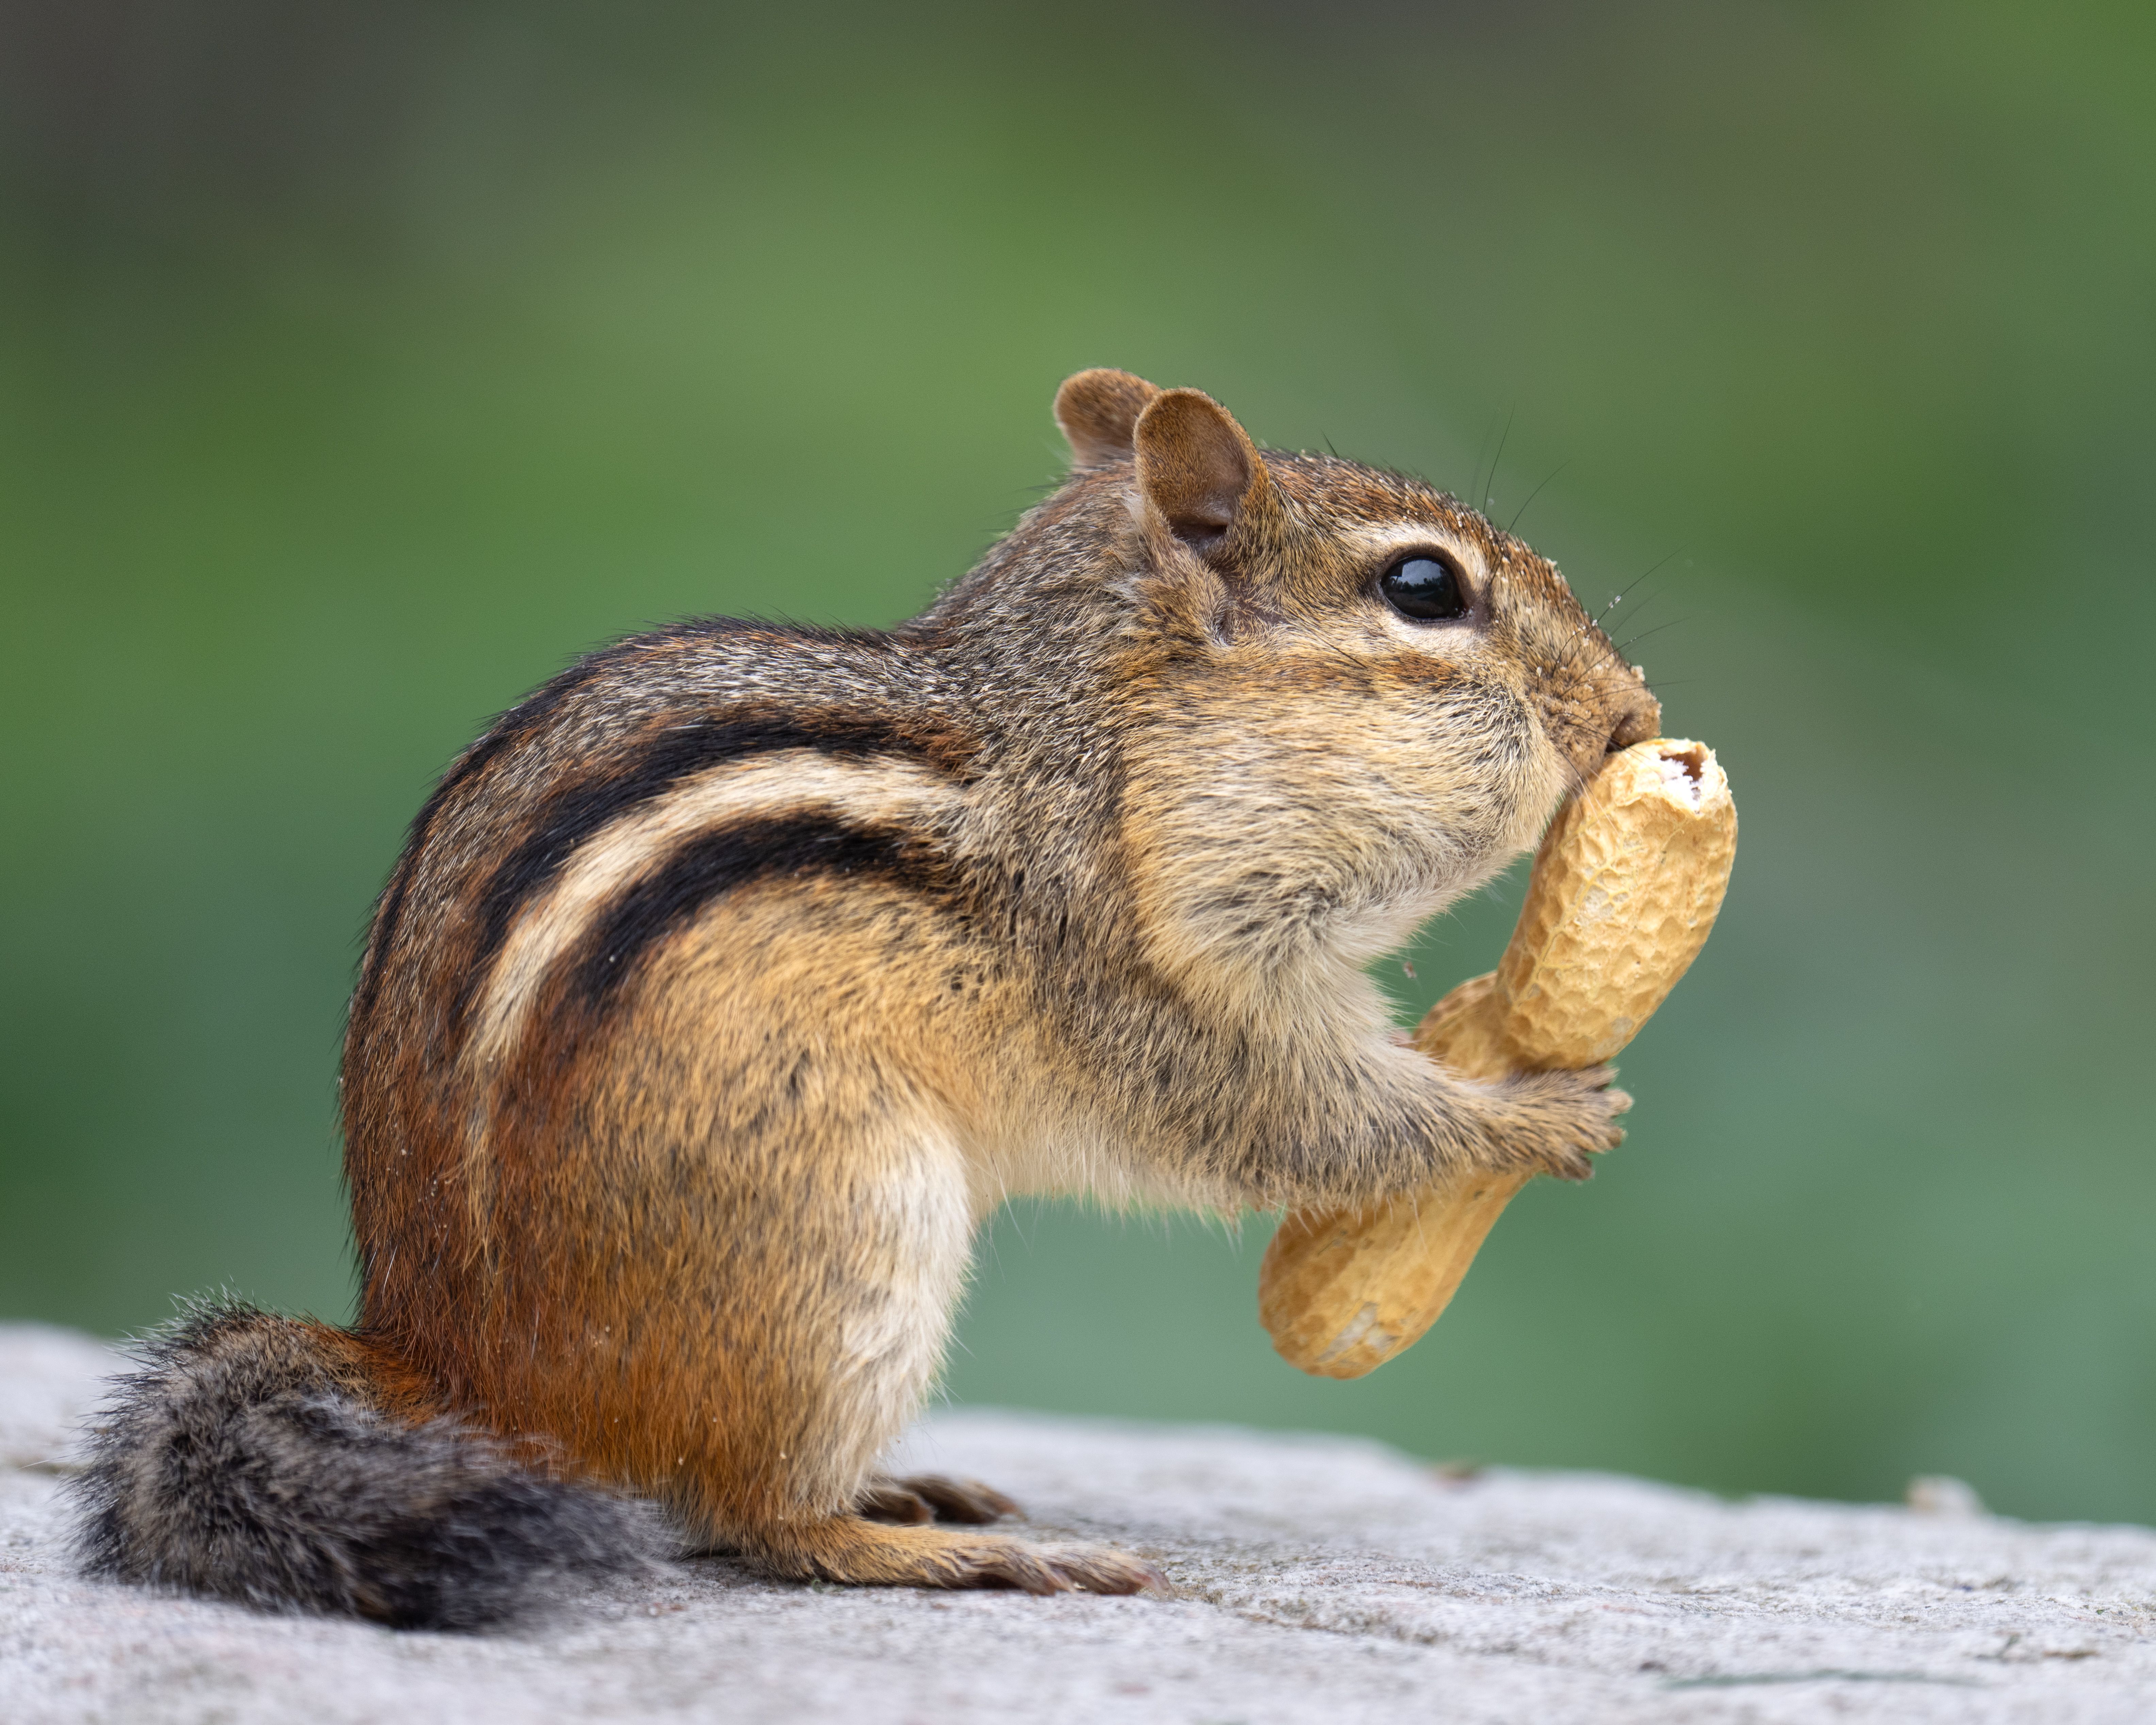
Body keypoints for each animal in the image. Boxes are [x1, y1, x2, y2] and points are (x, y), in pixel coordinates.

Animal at [72, 370, 1658, 1627]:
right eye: (1422, 589)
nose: (1635, 711)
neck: (1106, 749)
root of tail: (439, 1368)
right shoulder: (1143, 979)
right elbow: (1299, 1124)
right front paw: (1538, 1111)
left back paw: (912, 1493)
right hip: (840, 1233)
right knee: (754, 1516)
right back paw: (946, 1550)